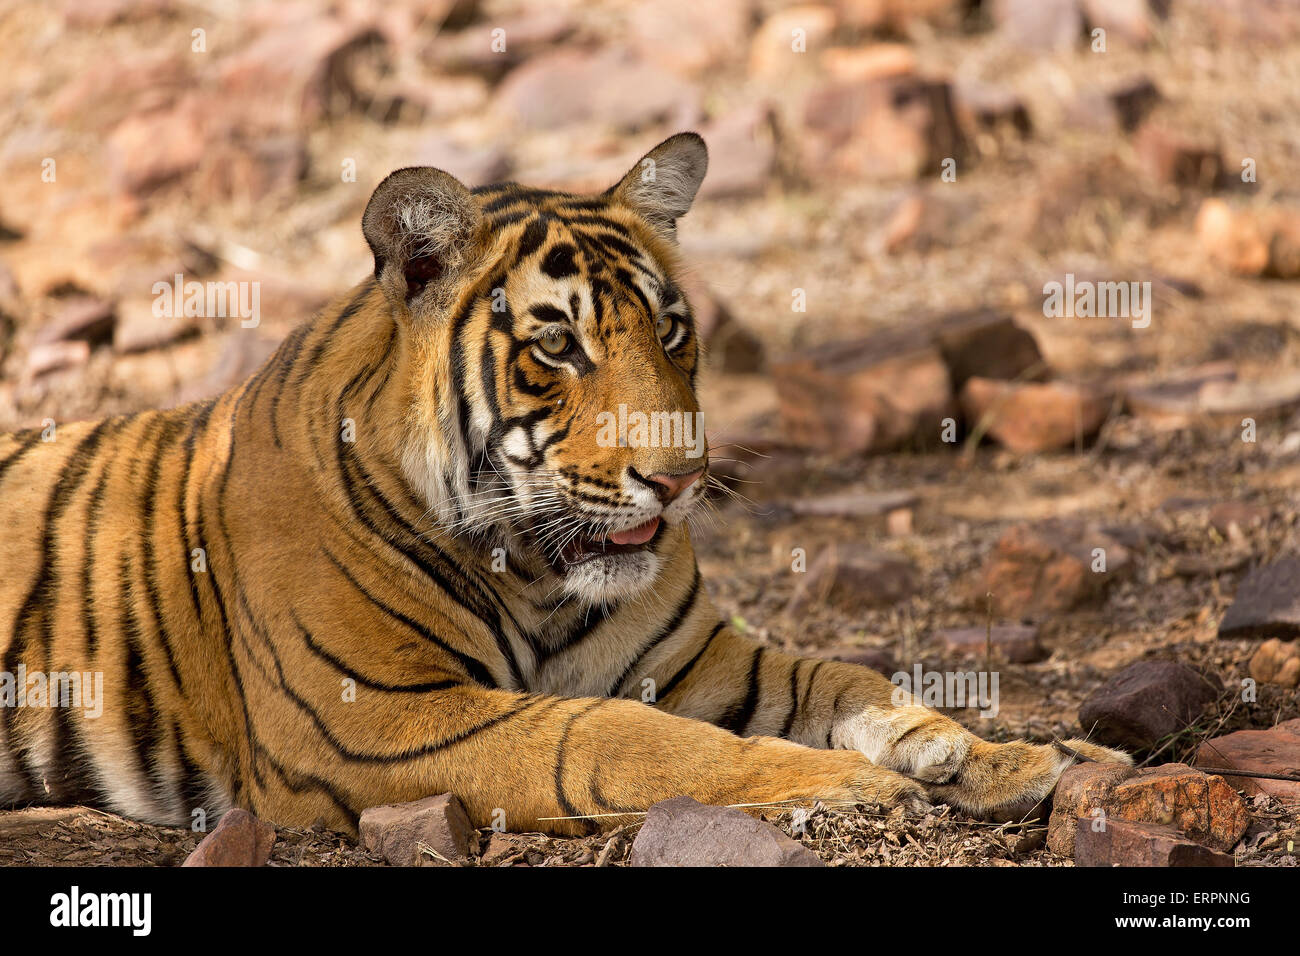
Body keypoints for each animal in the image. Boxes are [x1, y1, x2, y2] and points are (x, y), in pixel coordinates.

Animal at [0, 132, 1128, 839]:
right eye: (558, 345)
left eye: (670, 328)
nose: (681, 482)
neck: (536, 572)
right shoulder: (371, 719)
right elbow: (615, 738)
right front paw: (853, 782)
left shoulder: (699, 655)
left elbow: (844, 678)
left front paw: (992, 755)